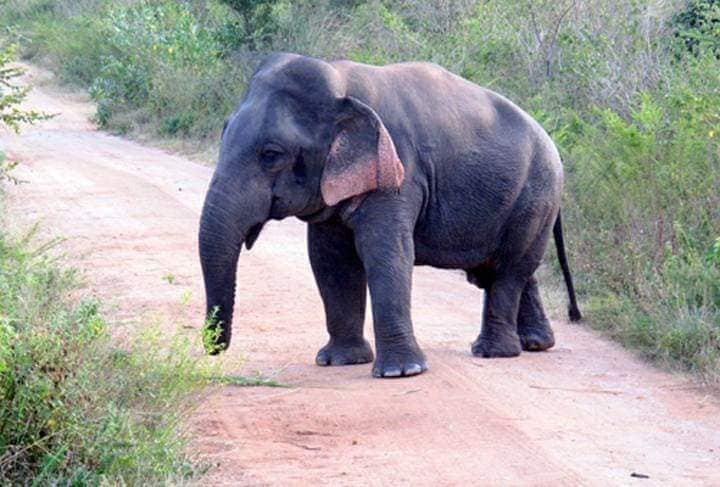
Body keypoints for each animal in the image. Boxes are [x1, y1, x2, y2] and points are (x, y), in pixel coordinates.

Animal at [199, 52, 582, 378]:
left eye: (271, 154)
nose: (215, 348)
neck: (340, 81)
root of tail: (553, 145)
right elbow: (329, 260)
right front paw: (340, 361)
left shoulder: (399, 171)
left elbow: (385, 251)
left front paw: (401, 372)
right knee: (510, 269)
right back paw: (535, 344)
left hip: (536, 195)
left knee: (507, 269)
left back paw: (494, 352)